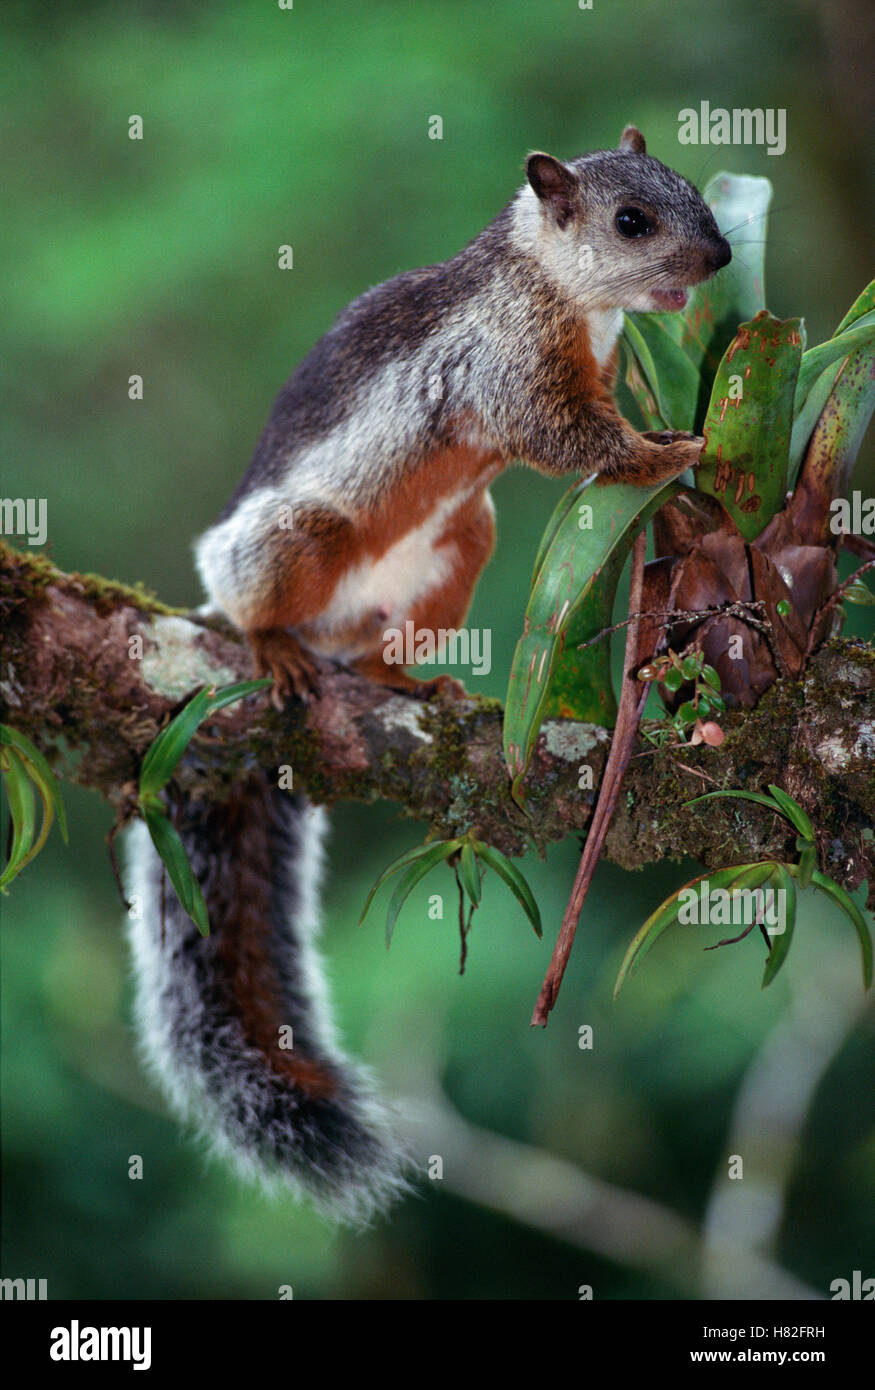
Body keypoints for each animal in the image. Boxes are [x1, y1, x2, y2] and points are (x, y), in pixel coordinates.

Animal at [125, 126, 731, 1222]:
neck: (554, 285)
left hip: (460, 542)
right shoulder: (505, 366)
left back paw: (406, 684)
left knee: (385, 642)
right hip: (291, 539)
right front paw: (667, 447)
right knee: (253, 600)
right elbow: (569, 439)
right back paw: (272, 646)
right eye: (631, 221)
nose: (719, 260)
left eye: (692, 188)